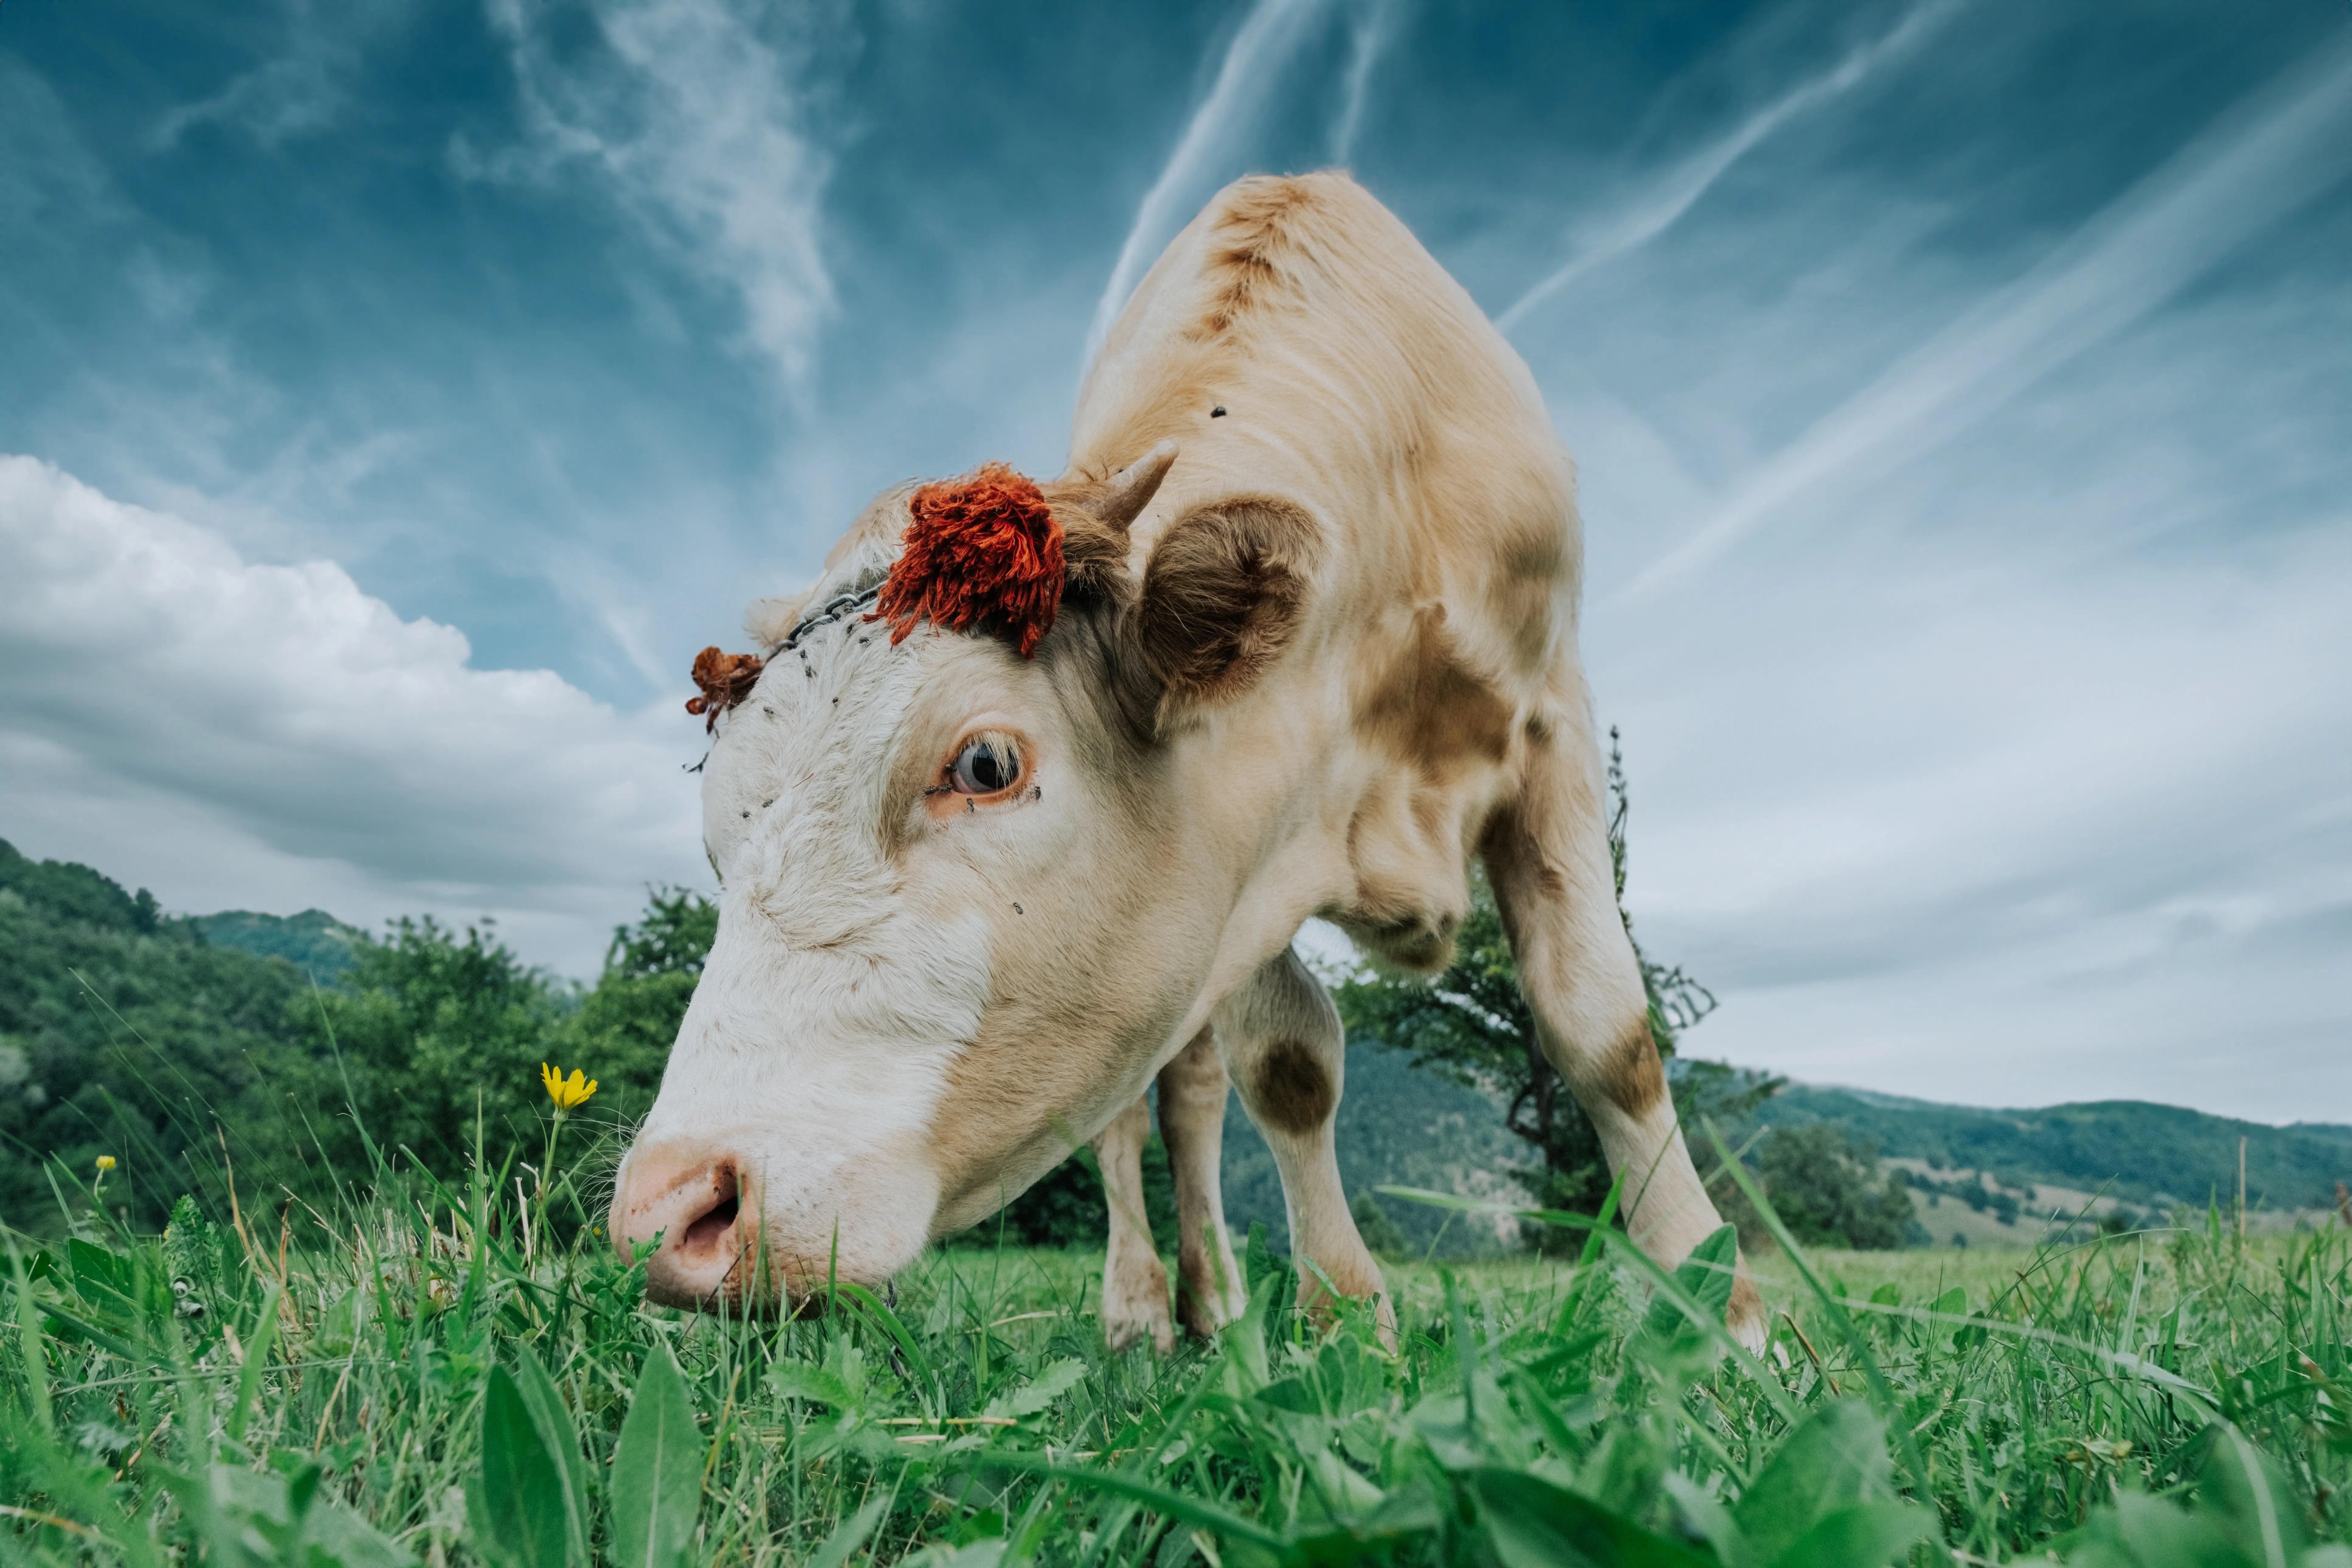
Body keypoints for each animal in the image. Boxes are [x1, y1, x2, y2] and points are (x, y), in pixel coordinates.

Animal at [611, 170, 1763, 1352]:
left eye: (984, 764)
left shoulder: (1551, 721)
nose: (673, 1208)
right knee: (1146, 1108)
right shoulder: (1245, 842)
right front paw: (1346, 1318)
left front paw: (1717, 1306)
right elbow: (1288, 1064)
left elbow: (1603, 1032)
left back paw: (1215, 1304)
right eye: (719, 837)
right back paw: (1147, 1311)